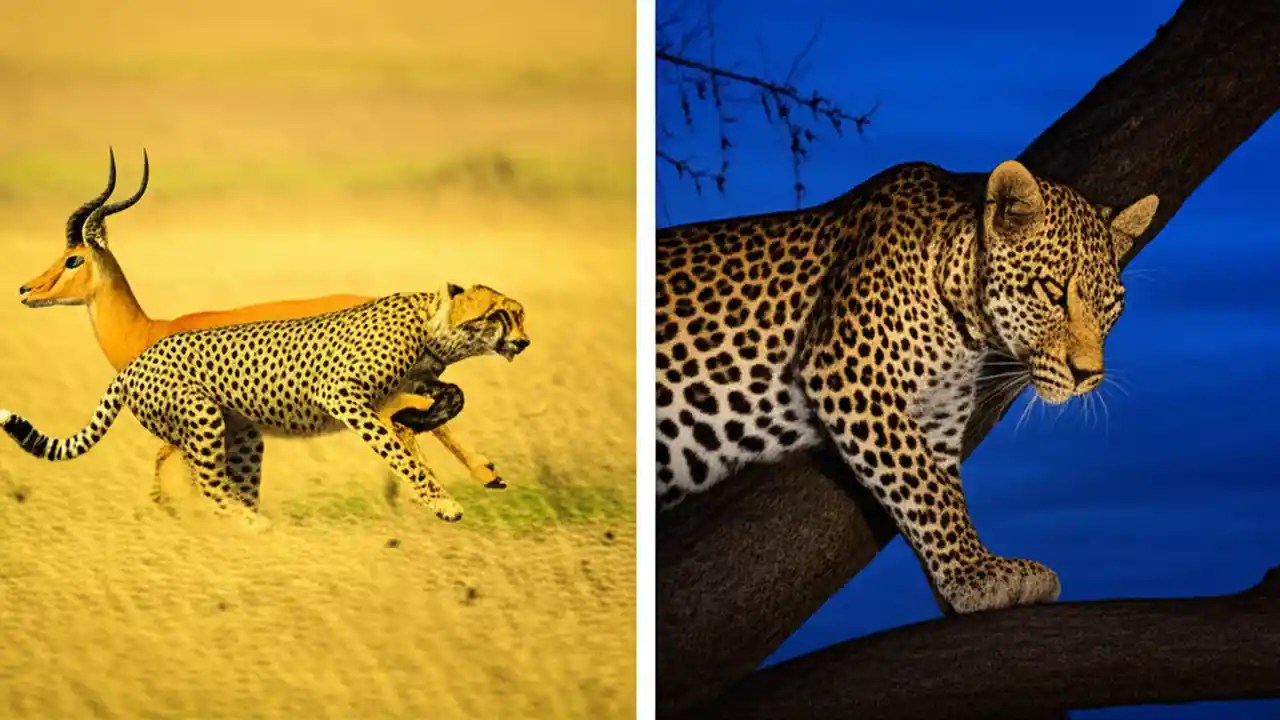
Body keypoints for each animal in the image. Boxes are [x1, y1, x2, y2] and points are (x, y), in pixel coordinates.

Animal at [0, 281, 530, 524]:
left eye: (520, 315)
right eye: (504, 315)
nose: (524, 342)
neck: (432, 328)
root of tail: (135, 362)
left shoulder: (409, 385)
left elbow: (449, 399)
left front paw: (428, 425)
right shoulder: (342, 394)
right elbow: (398, 449)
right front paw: (442, 502)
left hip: (243, 435)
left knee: (227, 484)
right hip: (201, 418)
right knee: (209, 486)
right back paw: (251, 527)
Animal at [655, 159, 1158, 614]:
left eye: (1111, 307)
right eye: (1052, 291)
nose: (1087, 375)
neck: (965, 325)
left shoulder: (936, 419)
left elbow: (941, 496)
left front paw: (960, 577)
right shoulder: (850, 371)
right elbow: (926, 490)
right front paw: (979, 574)